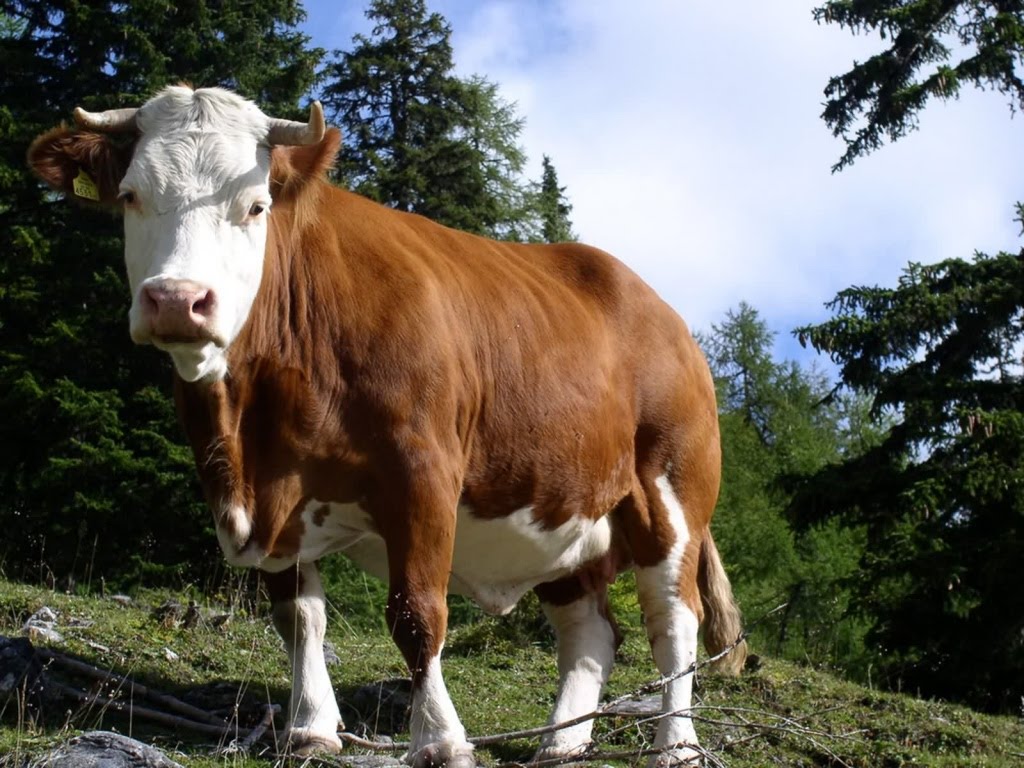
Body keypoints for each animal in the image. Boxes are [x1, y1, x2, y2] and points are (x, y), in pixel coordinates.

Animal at [28, 85, 746, 767]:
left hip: (671, 494)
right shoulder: (278, 504)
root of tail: (664, 313)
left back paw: (675, 745)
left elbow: (416, 614)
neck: (251, 433)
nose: (177, 300)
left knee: (674, 624)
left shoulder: (421, 473)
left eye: (255, 205)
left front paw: (440, 740)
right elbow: (299, 619)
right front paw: (310, 729)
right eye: (130, 196)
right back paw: (560, 743)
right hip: (567, 505)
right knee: (589, 630)